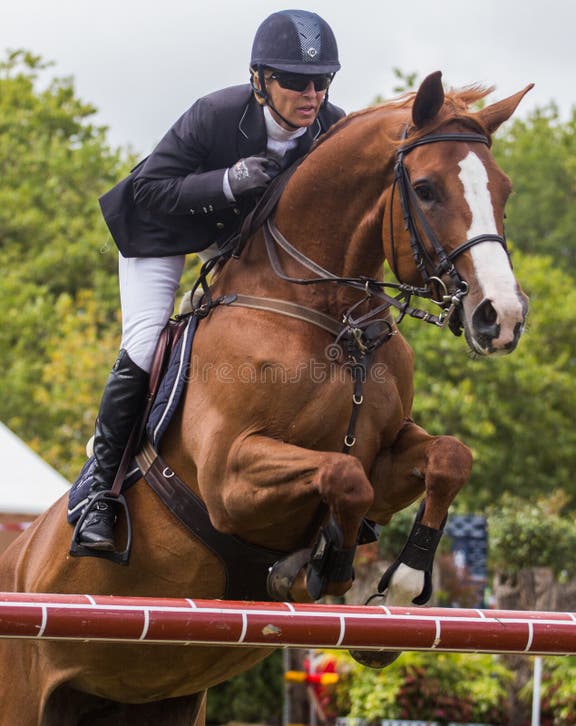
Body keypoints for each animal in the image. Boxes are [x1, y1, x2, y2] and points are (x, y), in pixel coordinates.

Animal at [0, 71, 531, 724]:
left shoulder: (386, 459)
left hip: (152, 699)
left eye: (503, 191)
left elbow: (447, 458)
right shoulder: (230, 479)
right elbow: (342, 477)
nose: (500, 318)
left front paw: (401, 588)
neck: (329, 320)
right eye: (427, 190)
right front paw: (323, 565)